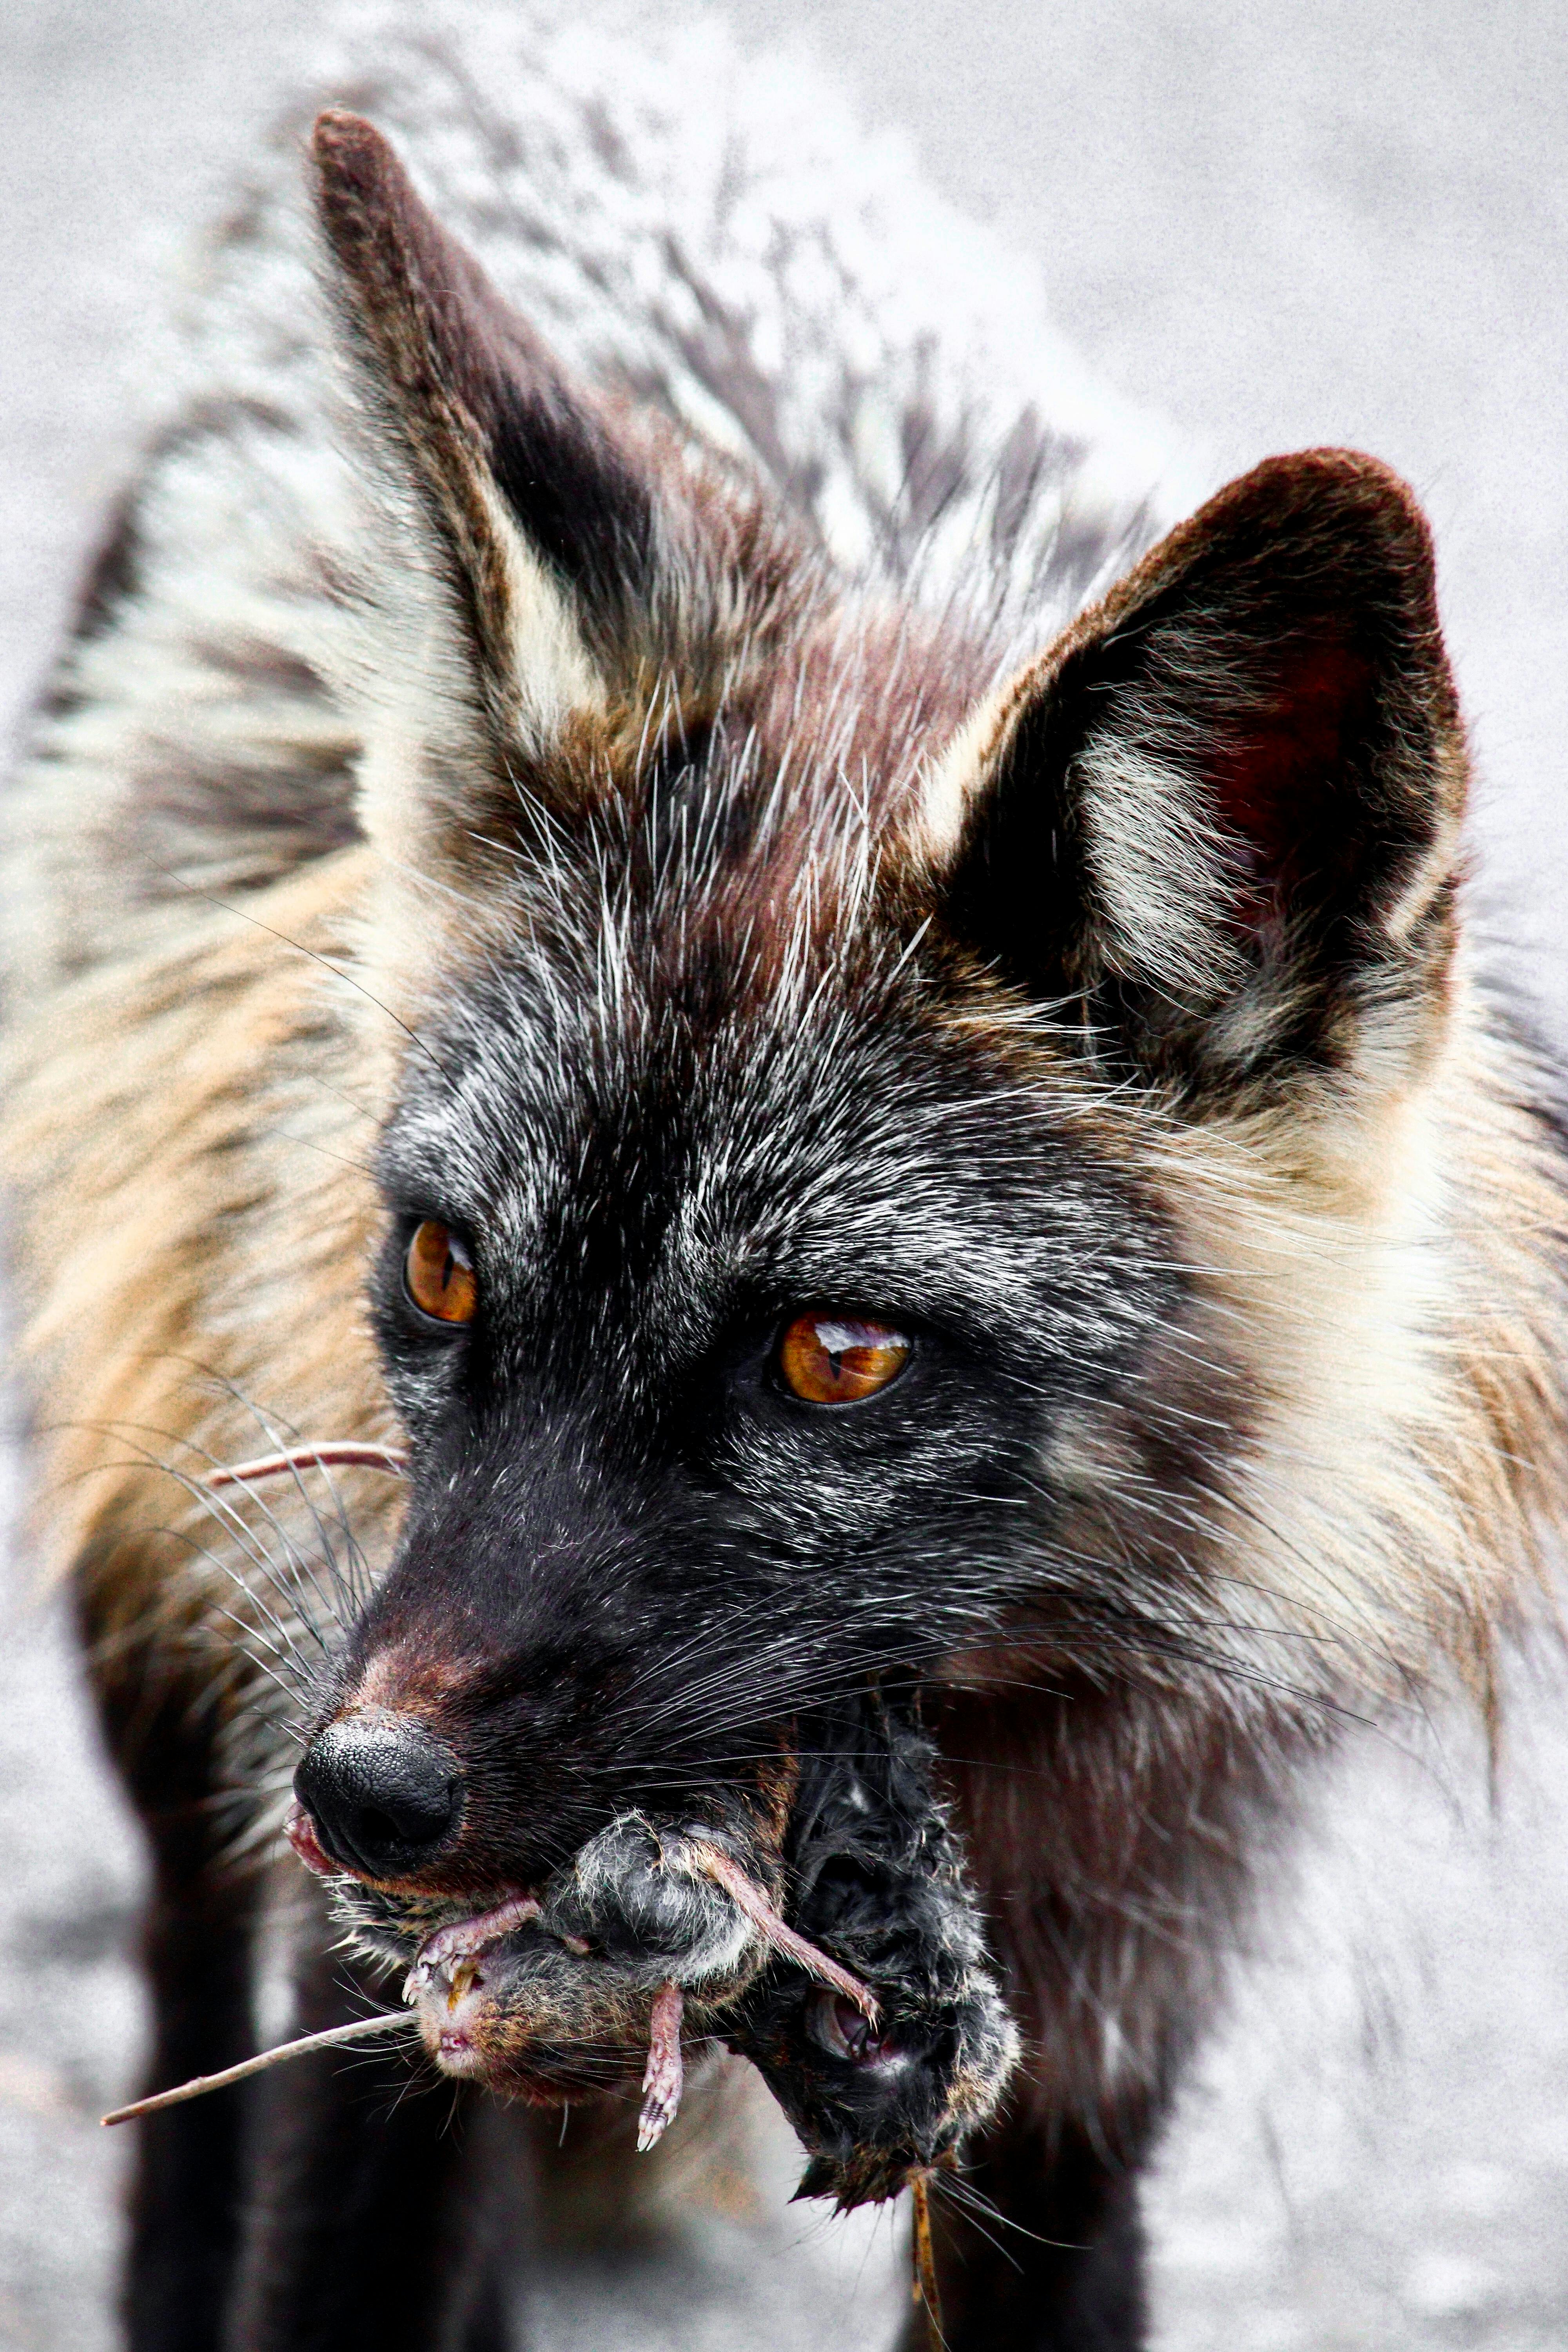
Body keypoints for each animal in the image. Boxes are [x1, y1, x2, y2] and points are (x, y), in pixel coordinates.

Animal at [4, 6, 1567, 2349]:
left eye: (838, 1356)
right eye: (444, 1270)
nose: (365, 1795)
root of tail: (572, 53)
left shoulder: (1092, 2072)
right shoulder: (378, 2010)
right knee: (189, 1980)